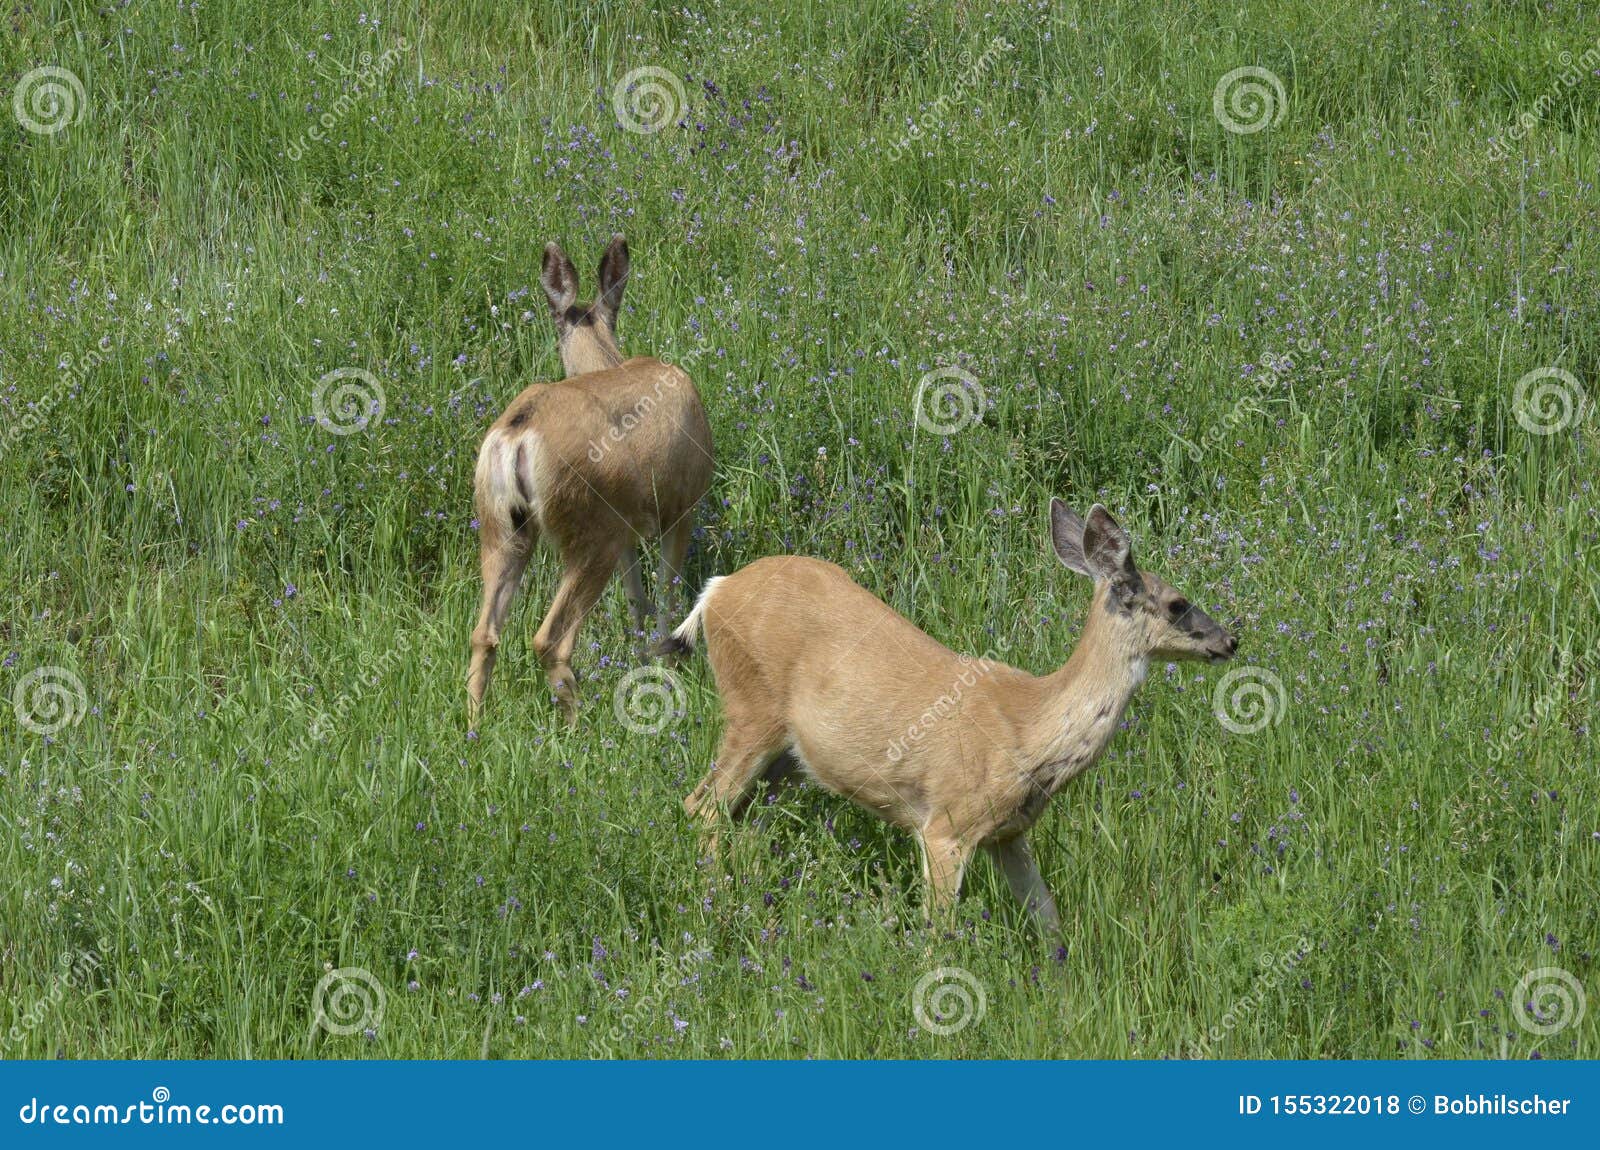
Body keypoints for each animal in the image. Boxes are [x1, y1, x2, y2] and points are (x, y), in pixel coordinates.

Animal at [467, 234, 714, 721]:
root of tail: (516, 435)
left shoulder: (628, 531)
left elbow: (637, 599)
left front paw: (640, 658)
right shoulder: (679, 508)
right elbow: (666, 594)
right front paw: (668, 666)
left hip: (503, 526)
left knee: (484, 634)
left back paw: (473, 724)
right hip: (588, 531)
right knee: (550, 639)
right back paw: (579, 724)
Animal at [662, 501, 1237, 934]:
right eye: (1178, 603)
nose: (1231, 640)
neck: (1031, 728)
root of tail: (714, 590)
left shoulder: (1009, 833)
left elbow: (1048, 920)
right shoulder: (945, 825)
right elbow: (940, 931)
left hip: (789, 760)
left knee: (736, 817)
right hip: (751, 711)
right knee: (703, 806)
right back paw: (717, 903)